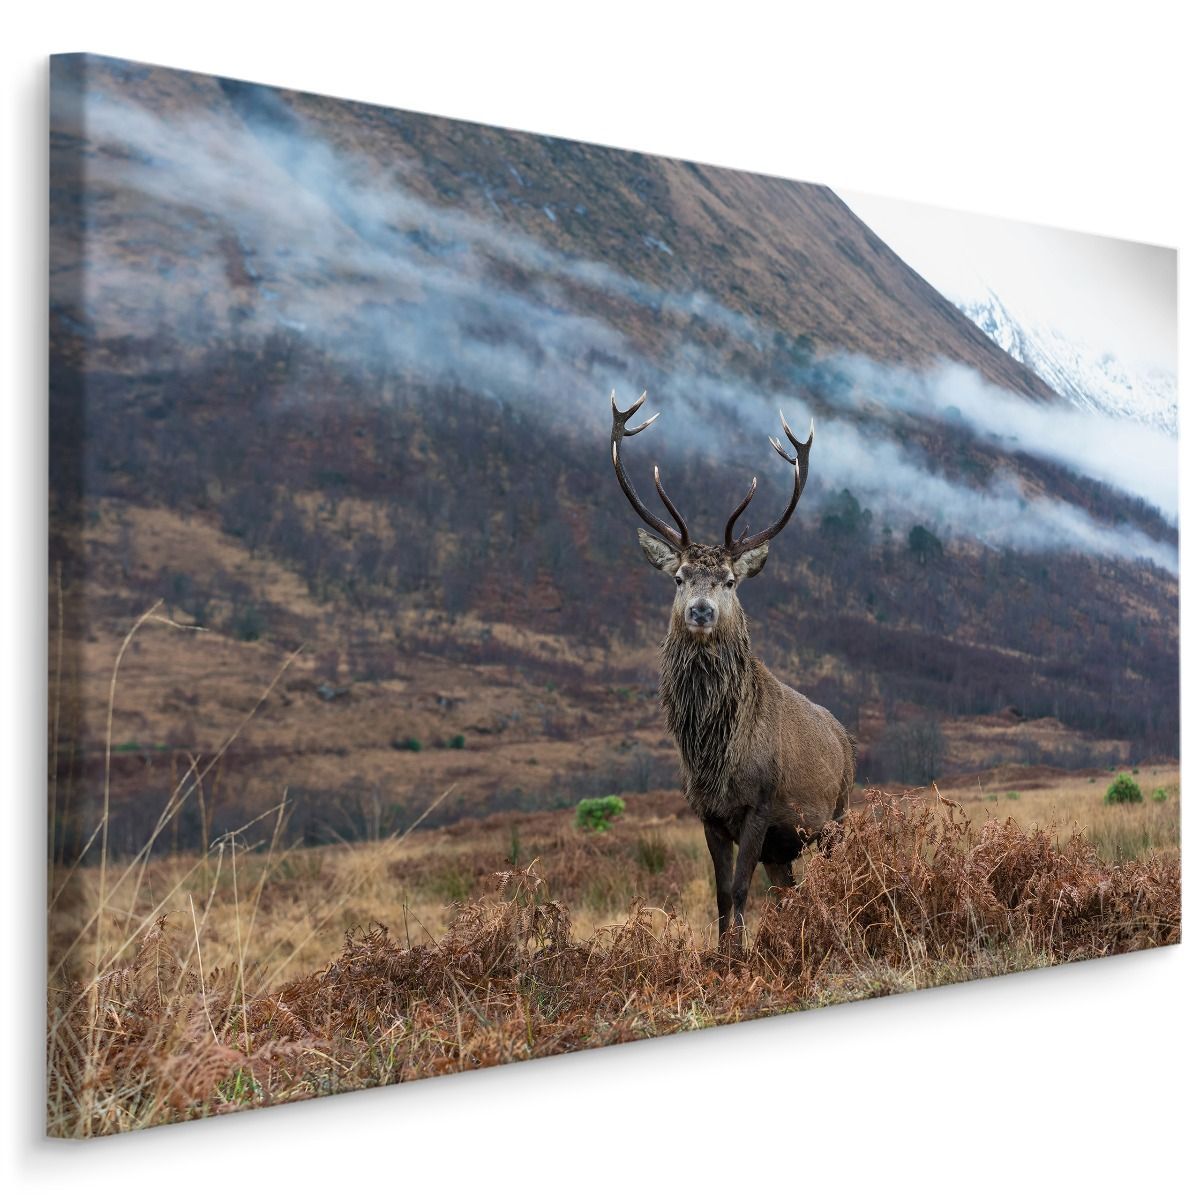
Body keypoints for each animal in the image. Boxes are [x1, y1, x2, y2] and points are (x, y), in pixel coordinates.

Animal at [609, 390, 855, 946]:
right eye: (679, 577)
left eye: (728, 580)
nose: (701, 611)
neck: (714, 754)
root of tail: (844, 735)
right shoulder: (708, 814)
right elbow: (723, 897)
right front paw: (724, 955)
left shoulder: (759, 806)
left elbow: (740, 892)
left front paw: (740, 958)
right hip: (785, 847)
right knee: (788, 893)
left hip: (837, 814)